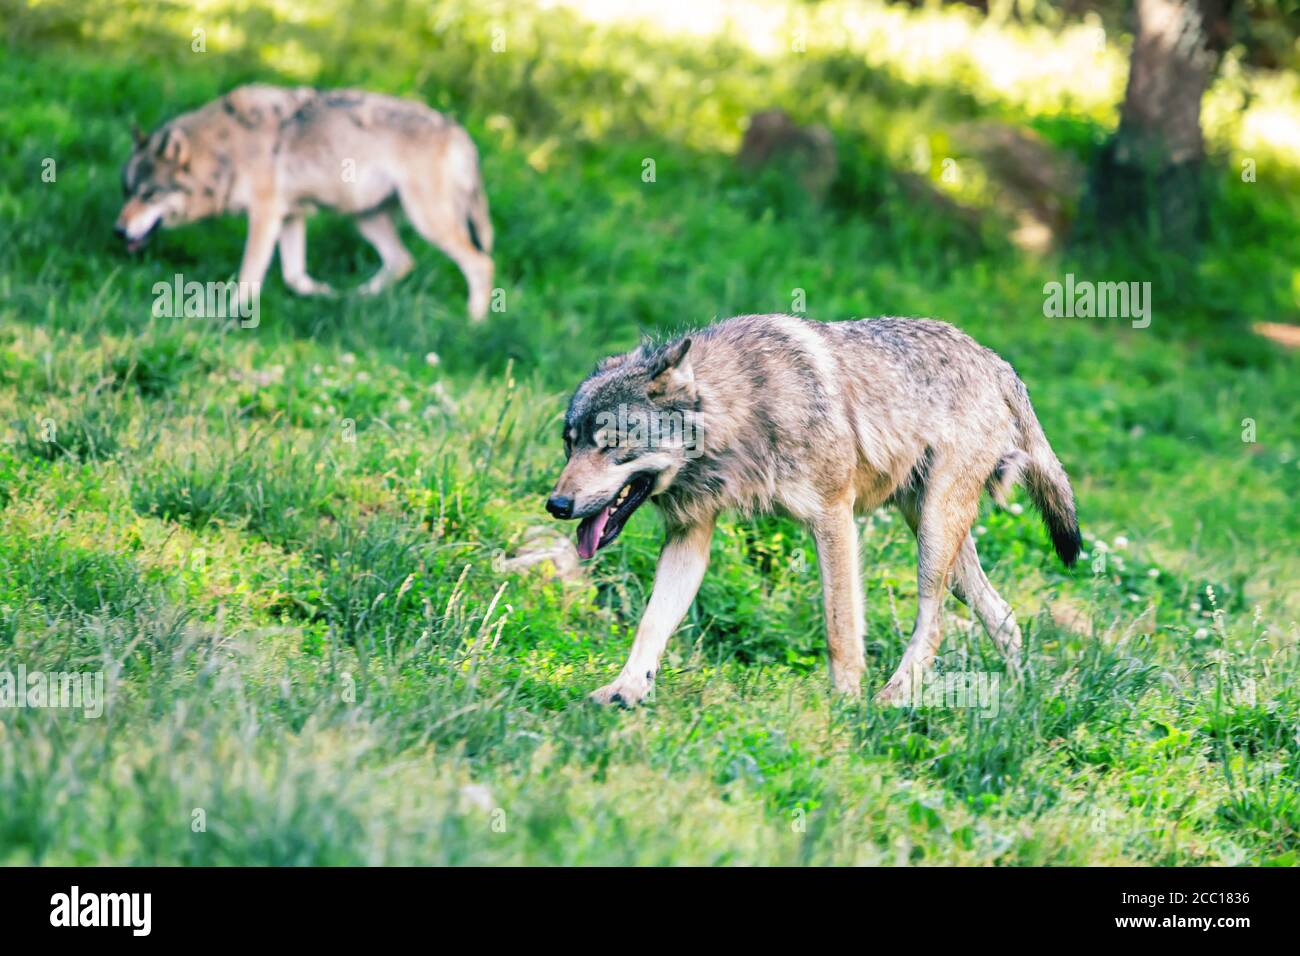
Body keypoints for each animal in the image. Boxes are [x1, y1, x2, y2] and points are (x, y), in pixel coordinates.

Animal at [115, 84, 494, 318]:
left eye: (148, 195)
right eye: (127, 191)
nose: (119, 231)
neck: (226, 151)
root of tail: (459, 132)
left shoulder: (265, 215)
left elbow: (249, 276)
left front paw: (231, 315)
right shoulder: (291, 216)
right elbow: (294, 276)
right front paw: (322, 293)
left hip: (426, 221)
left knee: (481, 264)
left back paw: (473, 325)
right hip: (365, 218)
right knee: (402, 261)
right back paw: (353, 299)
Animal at [546, 314, 1080, 706]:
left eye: (612, 444)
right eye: (570, 444)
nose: (556, 505)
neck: (745, 408)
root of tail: (996, 361)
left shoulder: (833, 516)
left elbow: (839, 628)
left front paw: (845, 703)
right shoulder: (690, 534)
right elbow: (652, 622)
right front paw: (626, 688)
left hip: (933, 538)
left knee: (934, 624)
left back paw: (893, 698)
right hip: (942, 545)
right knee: (1004, 616)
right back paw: (1023, 697)